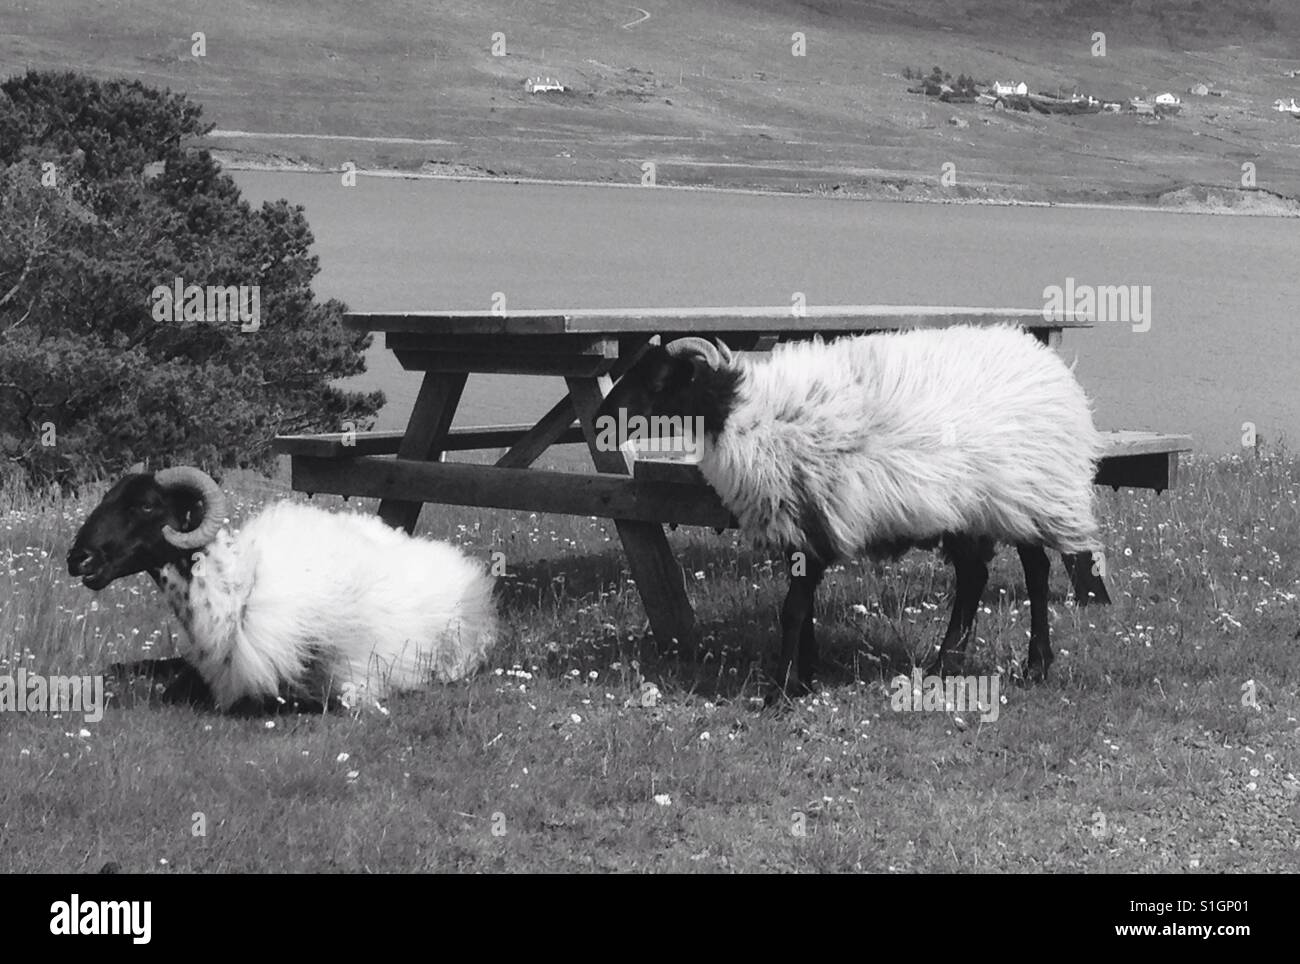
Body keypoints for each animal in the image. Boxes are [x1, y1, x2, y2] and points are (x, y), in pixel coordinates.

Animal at [597, 324, 1110, 695]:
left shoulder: (813, 517)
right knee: (974, 578)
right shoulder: (802, 524)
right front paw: (804, 675)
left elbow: (792, 609)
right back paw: (946, 664)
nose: (603, 418)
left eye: (658, 380)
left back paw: (1034, 666)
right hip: (973, 509)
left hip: (1030, 494)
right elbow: (801, 608)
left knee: (1035, 574)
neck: (741, 414)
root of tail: (1049, 366)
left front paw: (781, 690)